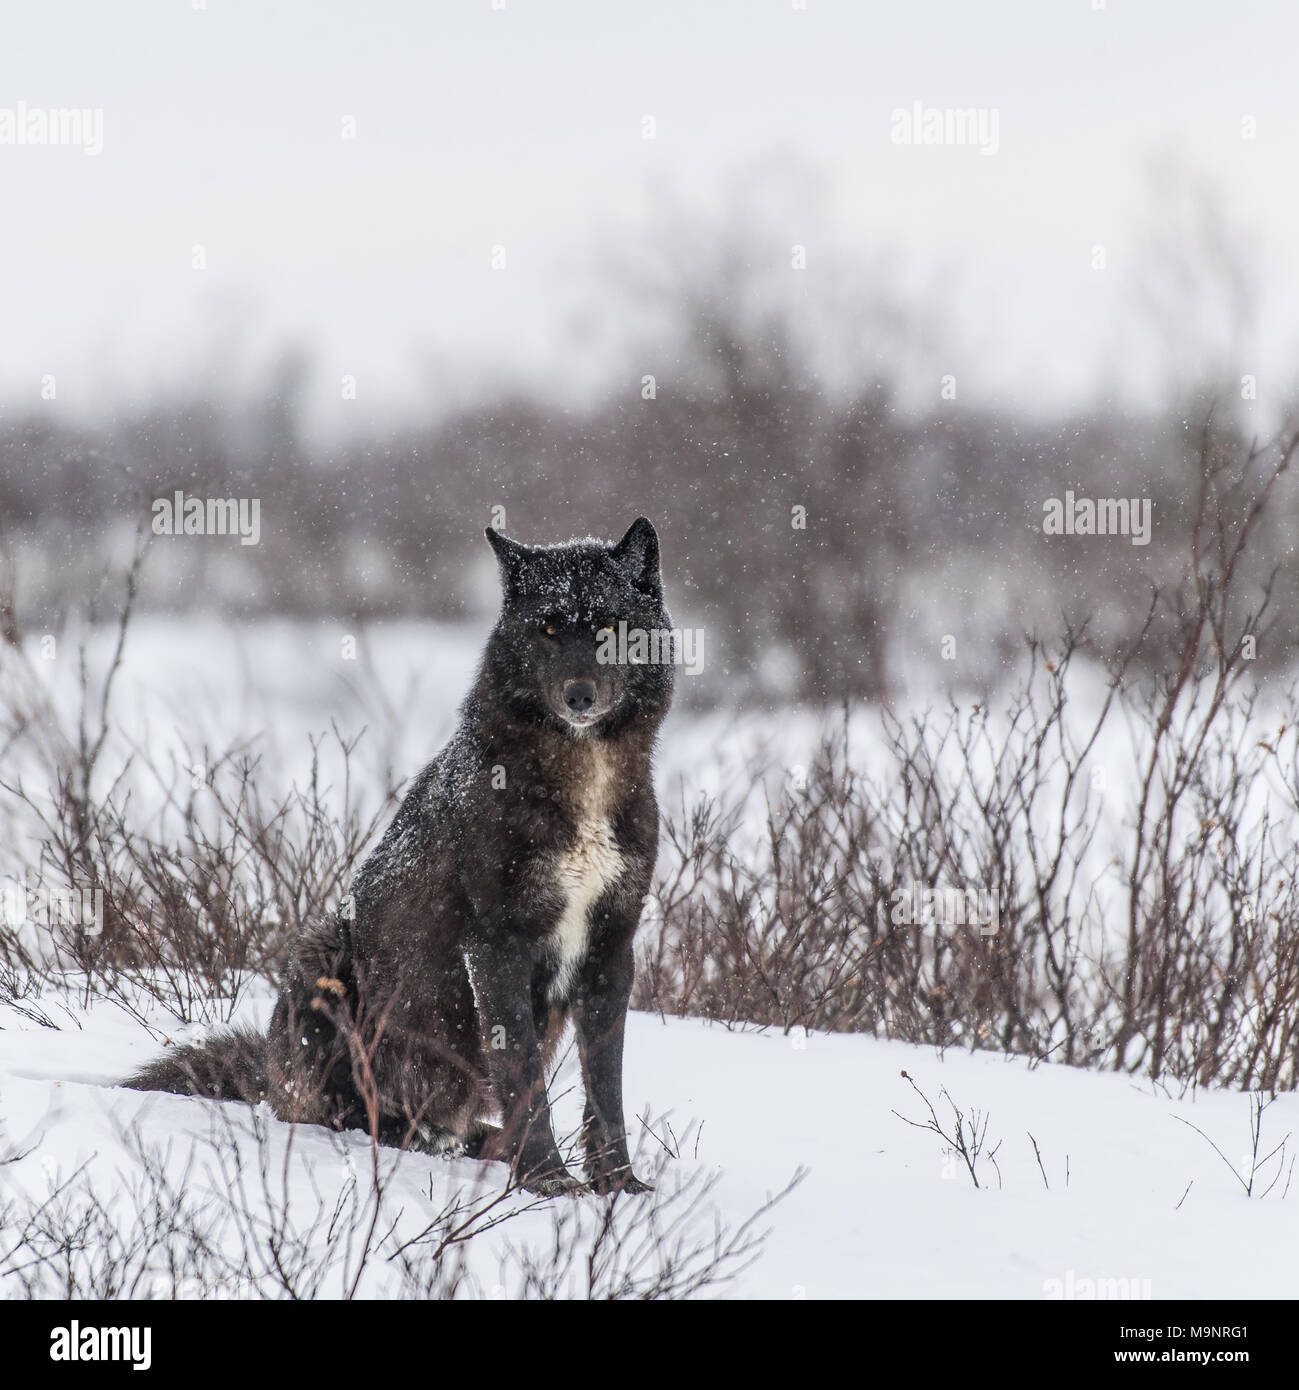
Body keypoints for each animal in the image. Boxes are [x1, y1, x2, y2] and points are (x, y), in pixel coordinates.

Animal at [125, 518, 673, 1196]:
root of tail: (269, 1080)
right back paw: (414, 1136)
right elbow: (524, 1080)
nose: (579, 695)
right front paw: (547, 1181)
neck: (583, 780)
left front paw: (619, 1189)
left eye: (609, 627)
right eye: (548, 629)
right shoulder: (495, 947)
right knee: (339, 1113)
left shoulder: (611, 948)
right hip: (323, 954)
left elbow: (606, 1089)